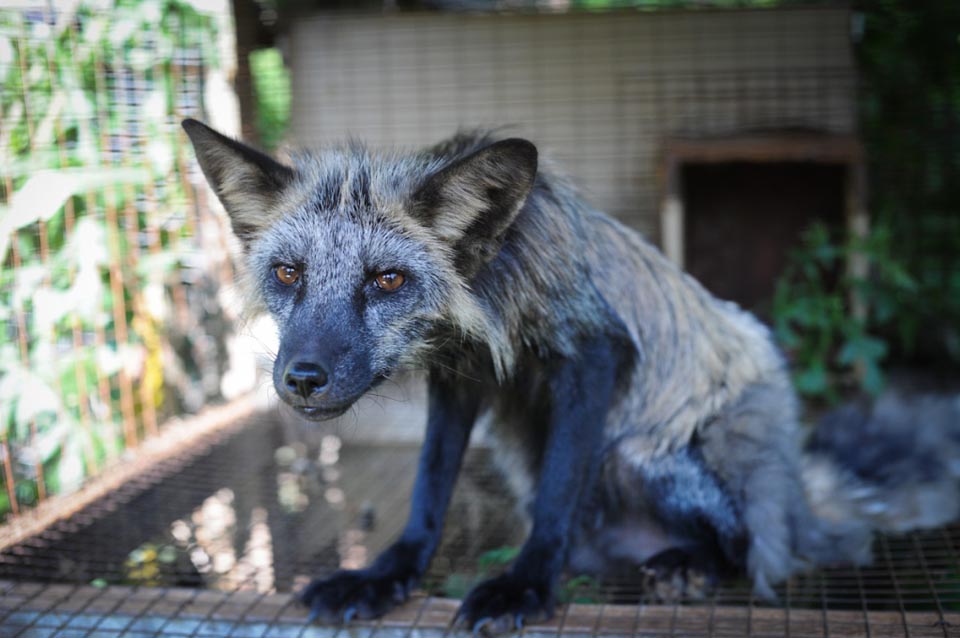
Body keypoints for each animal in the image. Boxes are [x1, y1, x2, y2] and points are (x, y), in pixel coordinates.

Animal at [183, 119, 960, 634]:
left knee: (747, 550)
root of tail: (796, 492)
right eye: (288, 274)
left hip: (644, 452)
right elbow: (430, 491)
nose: (301, 378)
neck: (497, 285)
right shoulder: (460, 380)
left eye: (387, 280)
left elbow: (558, 491)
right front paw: (387, 575)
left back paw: (690, 567)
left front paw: (526, 585)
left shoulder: (594, 353)